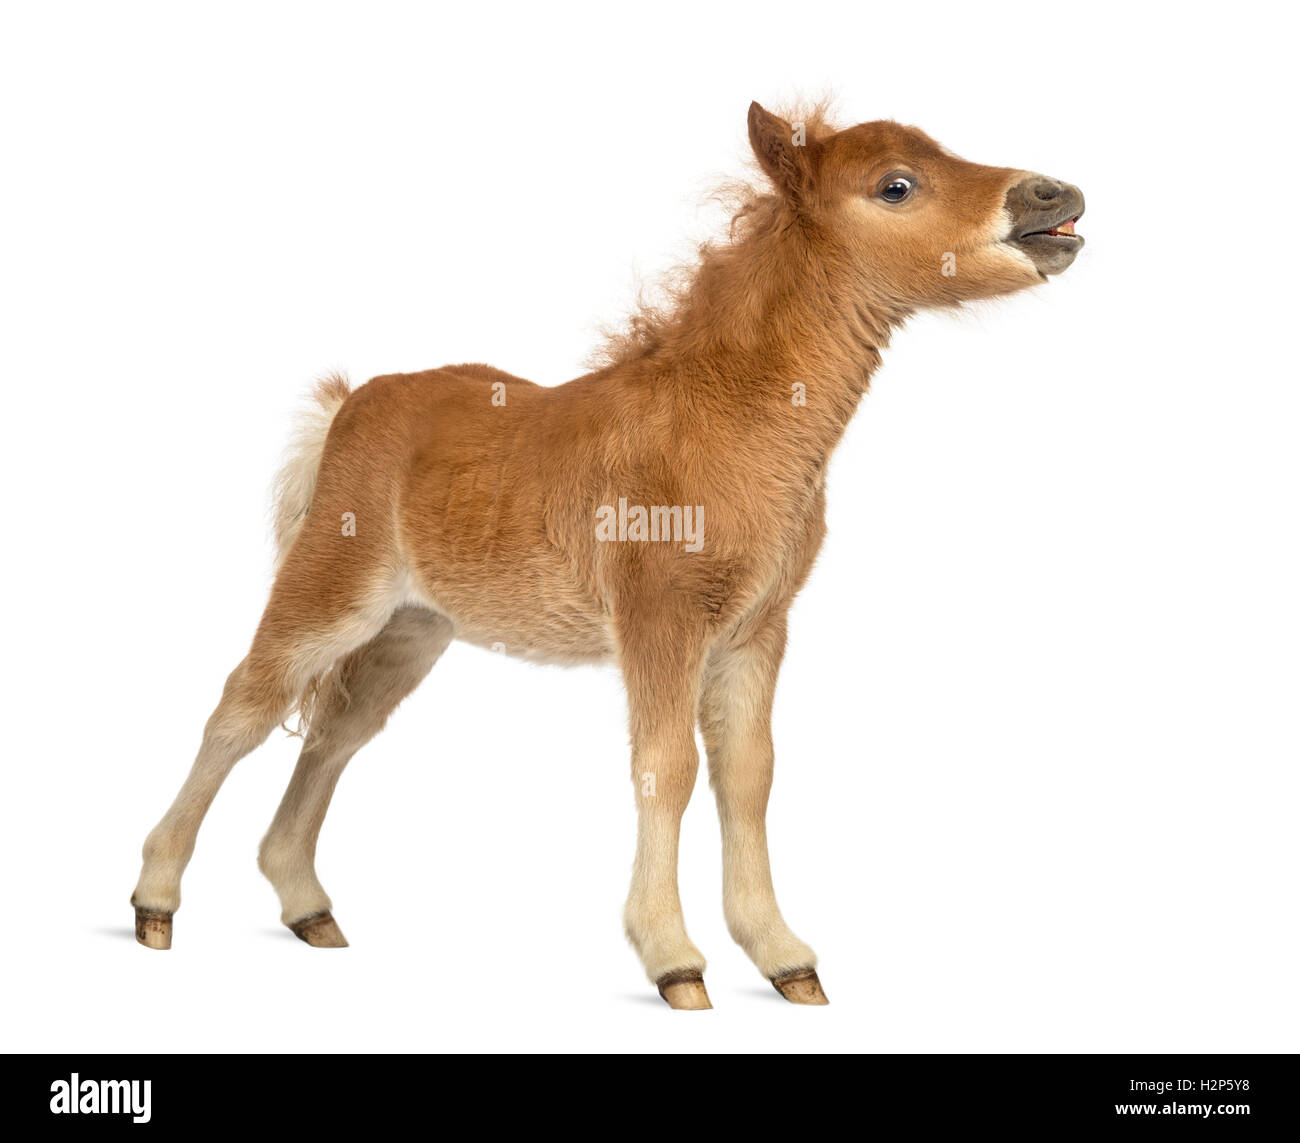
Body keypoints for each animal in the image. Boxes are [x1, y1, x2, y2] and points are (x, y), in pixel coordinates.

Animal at [134, 102, 1086, 1003]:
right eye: (896, 186)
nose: (1058, 198)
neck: (732, 422)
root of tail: (350, 404)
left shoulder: (754, 632)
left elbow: (748, 774)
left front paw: (781, 956)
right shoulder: (659, 621)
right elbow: (667, 767)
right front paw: (674, 959)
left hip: (411, 631)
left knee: (338, 731)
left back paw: (306, 905)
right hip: (333, 592)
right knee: (243, 707)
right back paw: (155, 901)